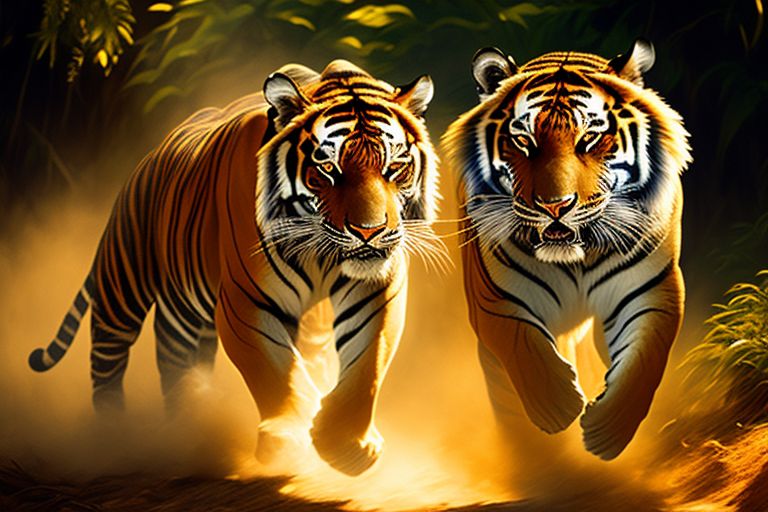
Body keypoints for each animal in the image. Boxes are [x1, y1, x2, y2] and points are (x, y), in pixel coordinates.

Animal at [28, 59, 442, 476]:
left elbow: (365, 365)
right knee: (107, 358)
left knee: (175, 358)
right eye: (327, 167)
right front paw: (288, 440)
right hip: (123, 283)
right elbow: (278, 372)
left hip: (184, 313)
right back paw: (115, 435)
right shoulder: (247, 302)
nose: (370, 232)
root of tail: (149, 157)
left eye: (395, 167)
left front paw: (345, 445)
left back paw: (189, 426)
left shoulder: (374, 292)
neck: (320, 253)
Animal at [442, 40, 692, 460]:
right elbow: (524, 350)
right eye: (524, 141)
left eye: (589, 138)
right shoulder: (494, 299)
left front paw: (607, 431)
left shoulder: (652, 290)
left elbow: (644, 360)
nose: (555, 206)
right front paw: (556, 408)